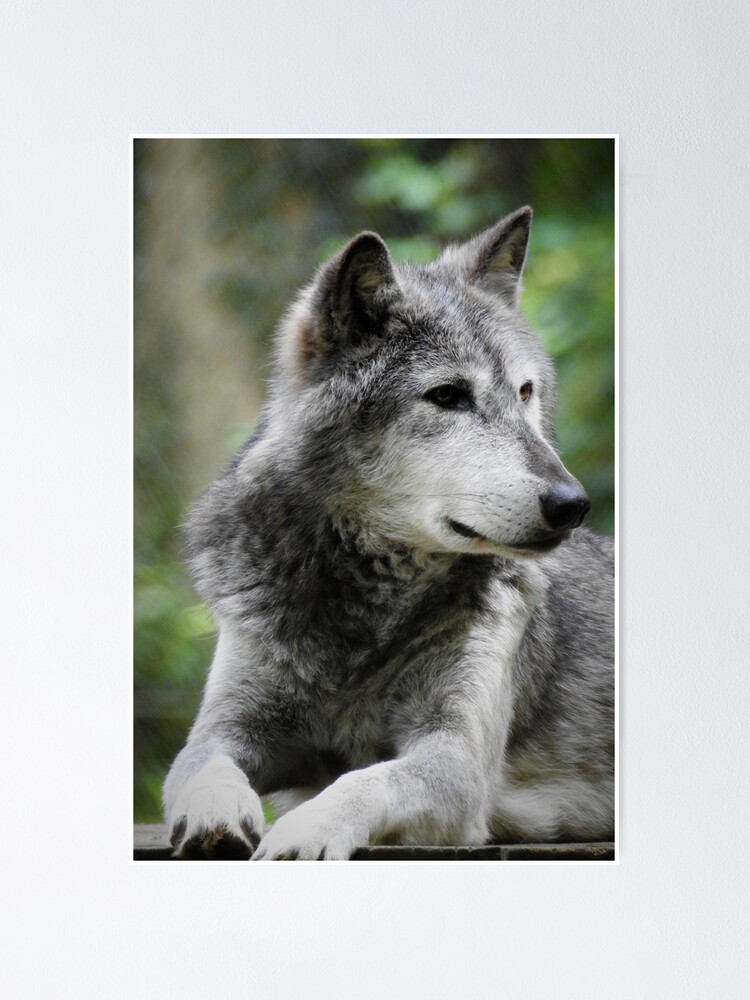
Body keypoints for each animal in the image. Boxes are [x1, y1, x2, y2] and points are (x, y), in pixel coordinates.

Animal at [162, 206, 615, 860]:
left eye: (525, 392)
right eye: (447, 396)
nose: (572, 504)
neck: (364, 621)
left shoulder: (455, 761)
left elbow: (364, 778)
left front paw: (304, 832)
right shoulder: (223, 729)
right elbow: (203, 767)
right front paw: (214, 814)